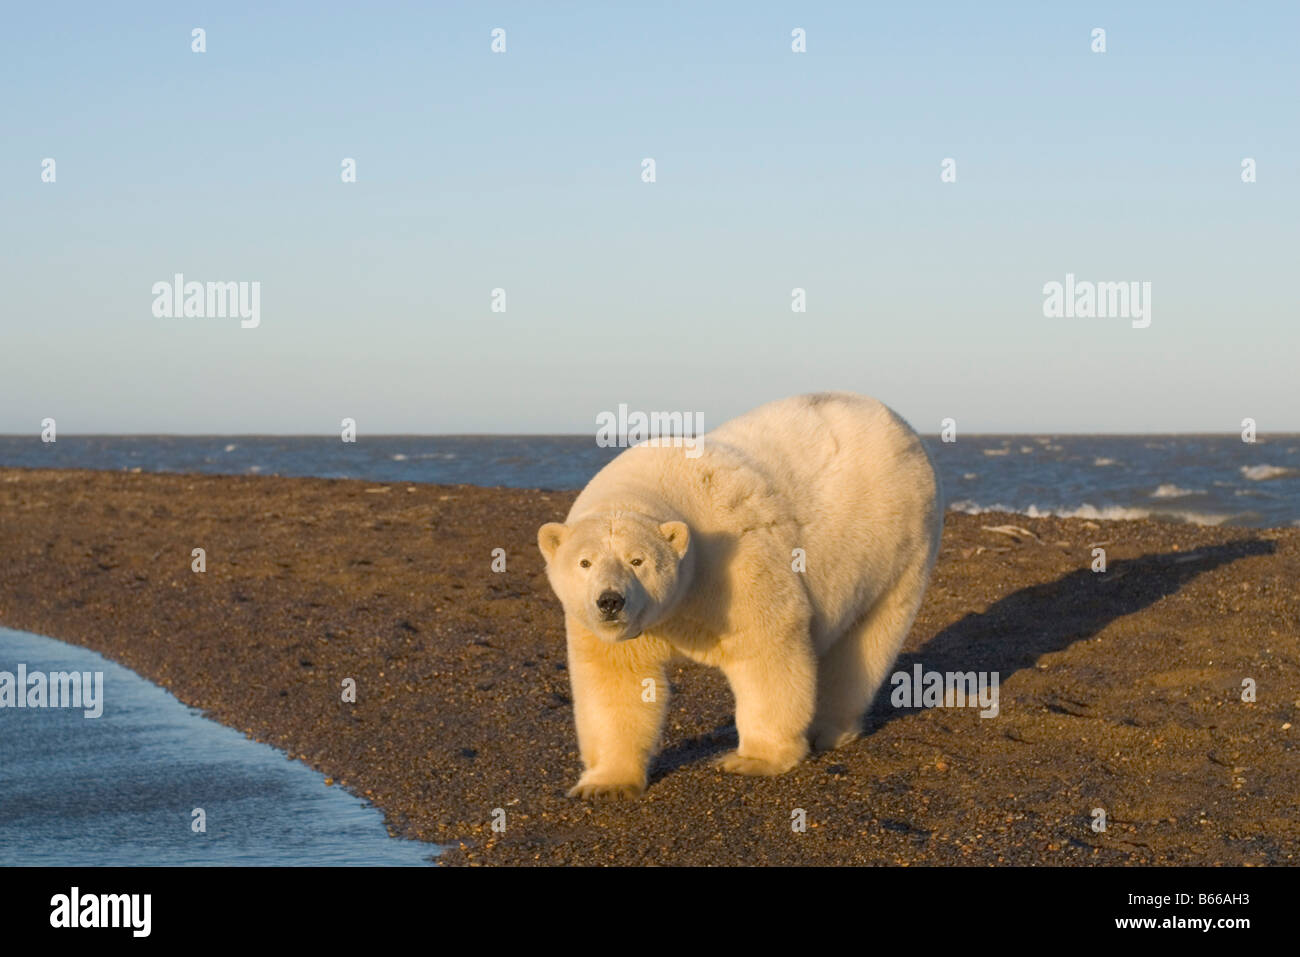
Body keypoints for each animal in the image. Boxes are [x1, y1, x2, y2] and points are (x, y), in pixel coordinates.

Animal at [537, 392, 943, 799]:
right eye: (585, 562)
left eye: (637, 560)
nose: (610, 601)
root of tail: (898, 423)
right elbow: (615, 675)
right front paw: (605, 784)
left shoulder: (735, 563)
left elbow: (767, 646)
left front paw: (754, 760)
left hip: (895, 545)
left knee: (866, 643)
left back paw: (831, 730)